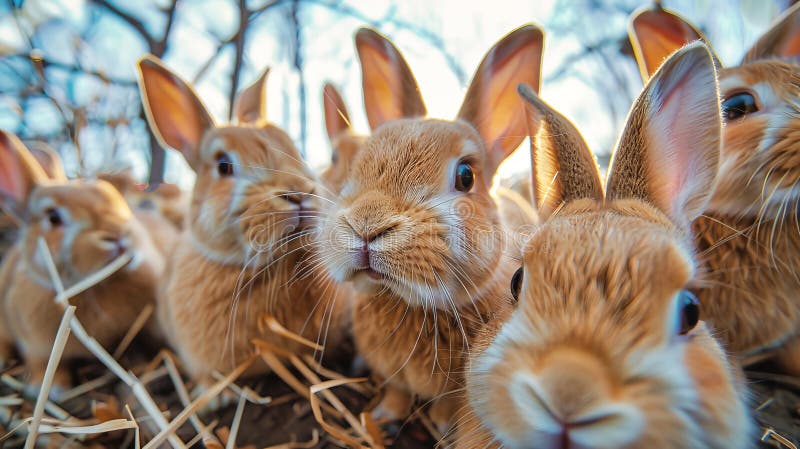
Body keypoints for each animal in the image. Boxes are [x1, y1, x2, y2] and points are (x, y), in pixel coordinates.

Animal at [0, 130, 164, 396]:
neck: (94, 288)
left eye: (111, 195)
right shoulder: (37, 344)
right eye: (53, 217)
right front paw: (51, 389)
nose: (119, 236)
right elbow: (44, 363)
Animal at [314, 25, 544, 431]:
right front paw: (383, 416)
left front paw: (441, 426)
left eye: (466, 176)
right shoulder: (392, 374)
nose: (366, 226)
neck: (401, 302)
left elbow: (445, 404)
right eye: (360, 162)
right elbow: (397, 392)